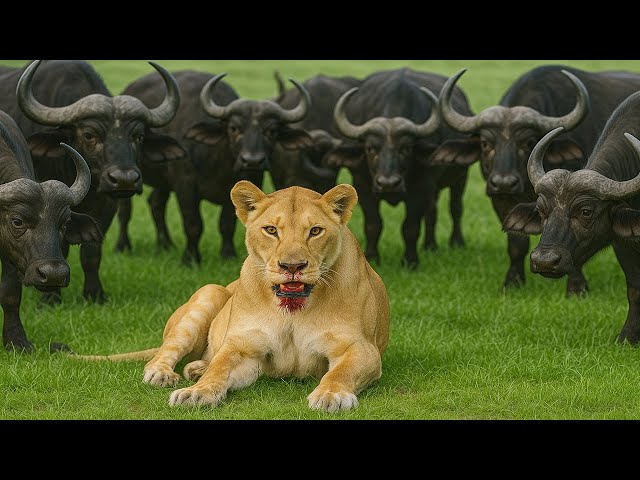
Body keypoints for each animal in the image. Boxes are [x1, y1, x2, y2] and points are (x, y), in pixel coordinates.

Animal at [77, 180, 390, 412]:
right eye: (271, 230)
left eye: (315, 231)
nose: (292, 267)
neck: (292, 308)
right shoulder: (243, 347)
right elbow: (220, 368)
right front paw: (196, 392)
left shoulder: (360, 348)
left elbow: (340, 372)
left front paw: (330, 395)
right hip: (210, 293)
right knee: (165, 353)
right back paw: (166, 374)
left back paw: (195, 369)